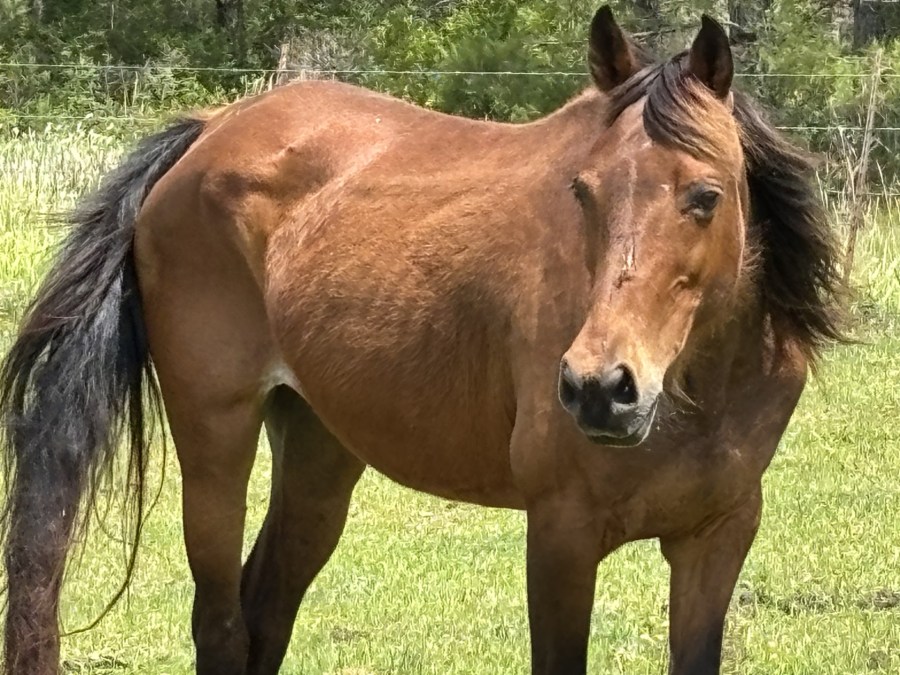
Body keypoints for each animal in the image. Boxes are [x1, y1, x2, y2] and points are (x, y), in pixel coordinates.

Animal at [0, 6, 843, 675]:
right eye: (582, 189)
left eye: (705, 196)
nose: (601, 388)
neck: (699, 390)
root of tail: (210, 131)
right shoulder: (562, 536)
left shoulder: (717, 537)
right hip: (216, 443)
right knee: (220, 626)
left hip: (317, 452)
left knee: (264, 613)